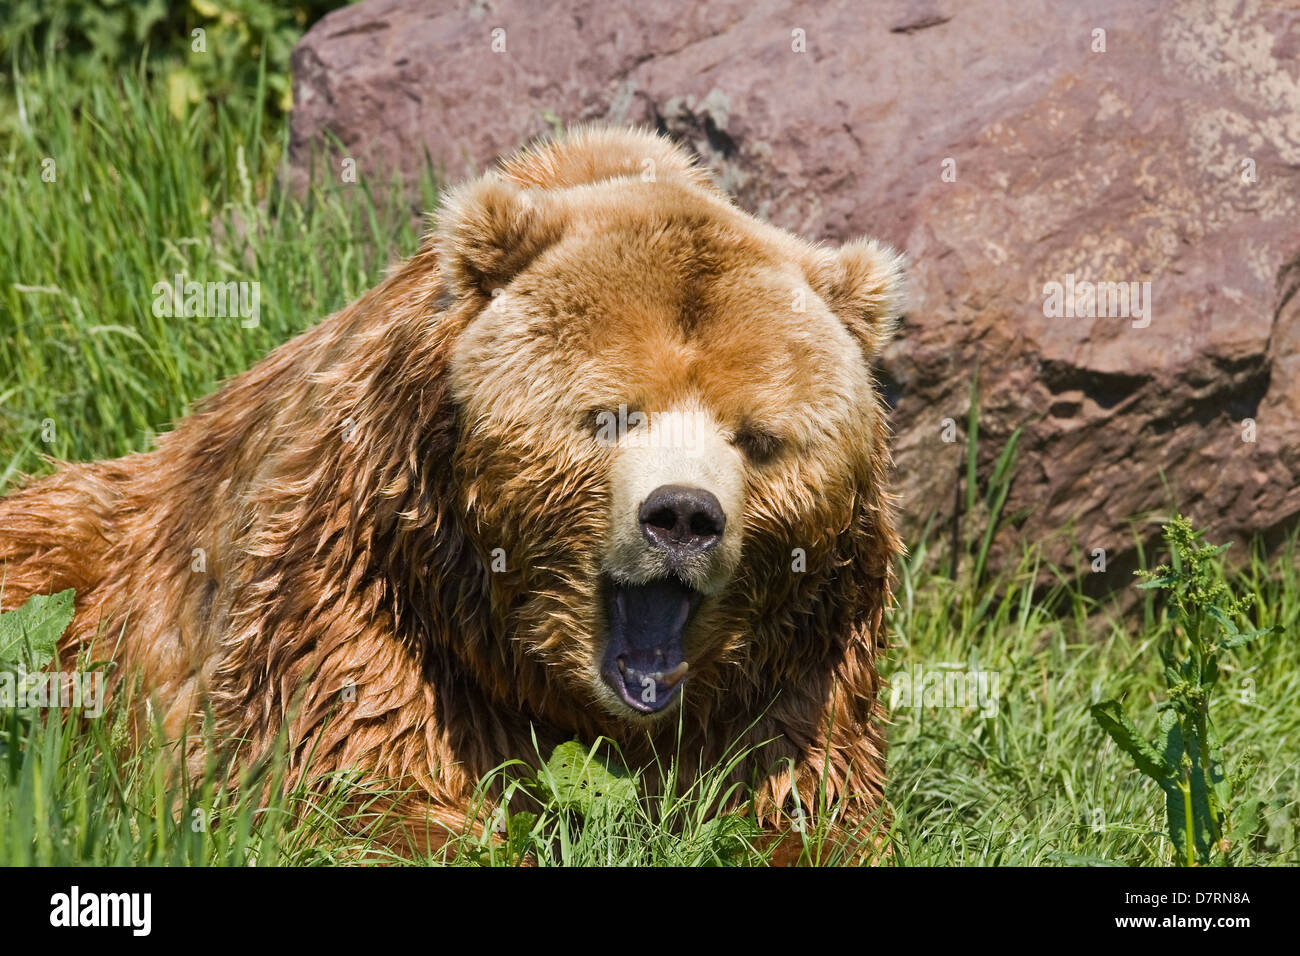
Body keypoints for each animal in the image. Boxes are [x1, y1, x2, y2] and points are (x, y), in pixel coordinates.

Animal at [0, 126, 904, 856]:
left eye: (758, 437)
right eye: (610, 415)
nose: (682, 516)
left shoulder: (810, 640)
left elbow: (805, 793)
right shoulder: (371, 571)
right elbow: (363, 776)